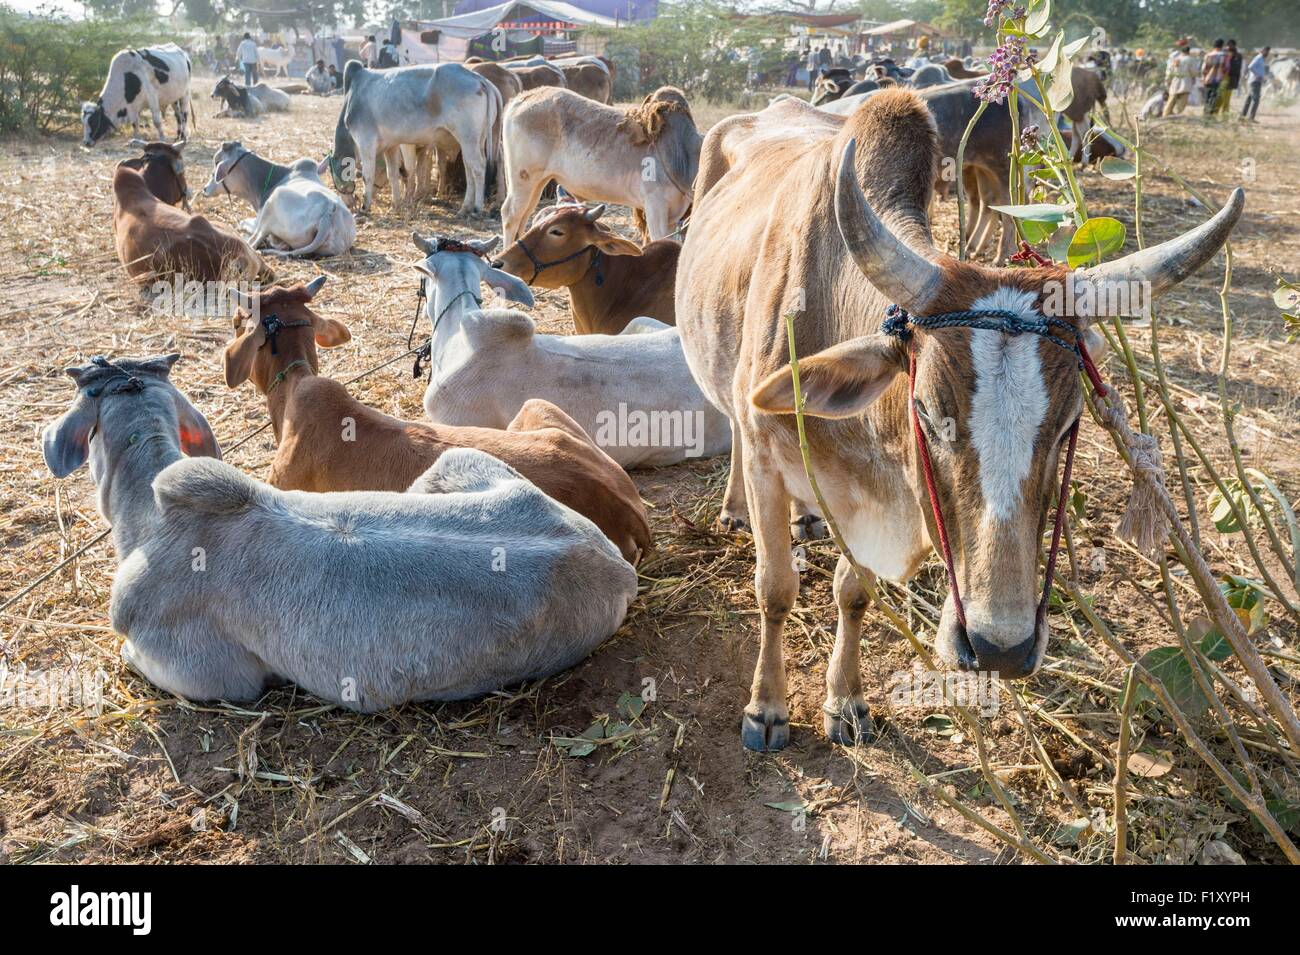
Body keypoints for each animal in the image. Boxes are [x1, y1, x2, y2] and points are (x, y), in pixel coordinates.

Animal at [203, 142, 355, 258]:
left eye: (216, 164)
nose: (204, 189)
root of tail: (328, 214)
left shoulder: (258, 219)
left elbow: (243, 222)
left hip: (270, 209)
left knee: (254, 242)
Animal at [330, 61, 501, 215]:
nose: (349, 205)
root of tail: (479, 79)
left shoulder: (366, 141)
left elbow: (368, 175)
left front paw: (365, 207)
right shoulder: (391, 146)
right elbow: (393, 174)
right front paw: (395, 205)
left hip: (468, 137)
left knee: (478, 167)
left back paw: (477, 208)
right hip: (476, 139)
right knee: (469, 166)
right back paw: (465, 208)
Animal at [500, 86, 701, 246]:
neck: (682, 153)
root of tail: (522, 98)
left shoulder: (672, 216)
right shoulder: (655, 207)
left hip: (537, 183)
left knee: (524, 215)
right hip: (523, 178)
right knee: (510, 214)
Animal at [674, 89, 1243, 750]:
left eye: (1067, 426)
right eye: (926, 411)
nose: (1001, 648)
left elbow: (854, 591)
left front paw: (845, 699)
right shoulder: (769, 459)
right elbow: (775, 591)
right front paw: (766, 707)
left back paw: (808, 518)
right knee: (735, 431)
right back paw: (734, 509)